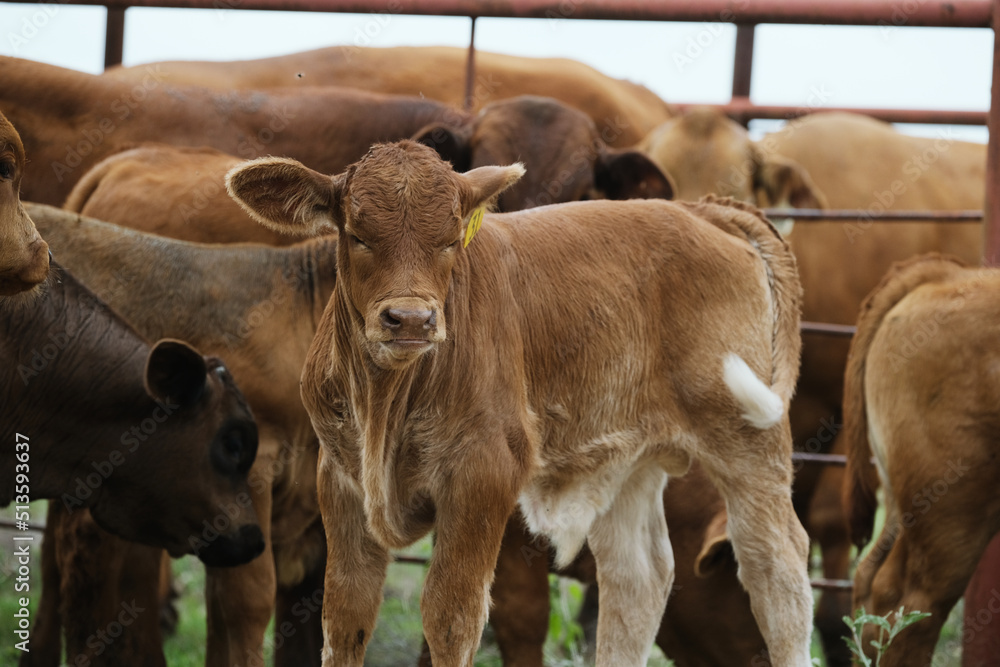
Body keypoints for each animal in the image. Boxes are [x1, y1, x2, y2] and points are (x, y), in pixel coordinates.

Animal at [226, 140, 813, 666]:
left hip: (747, 440)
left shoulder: (484, 472)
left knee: (777, 573)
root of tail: (702, 208)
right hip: (631, 455)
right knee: (637, 579)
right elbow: (346, 617)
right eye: (357, 234)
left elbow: (450, 617)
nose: (411, 319)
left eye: (449, 240)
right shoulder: (341, 478)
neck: (384, 403)